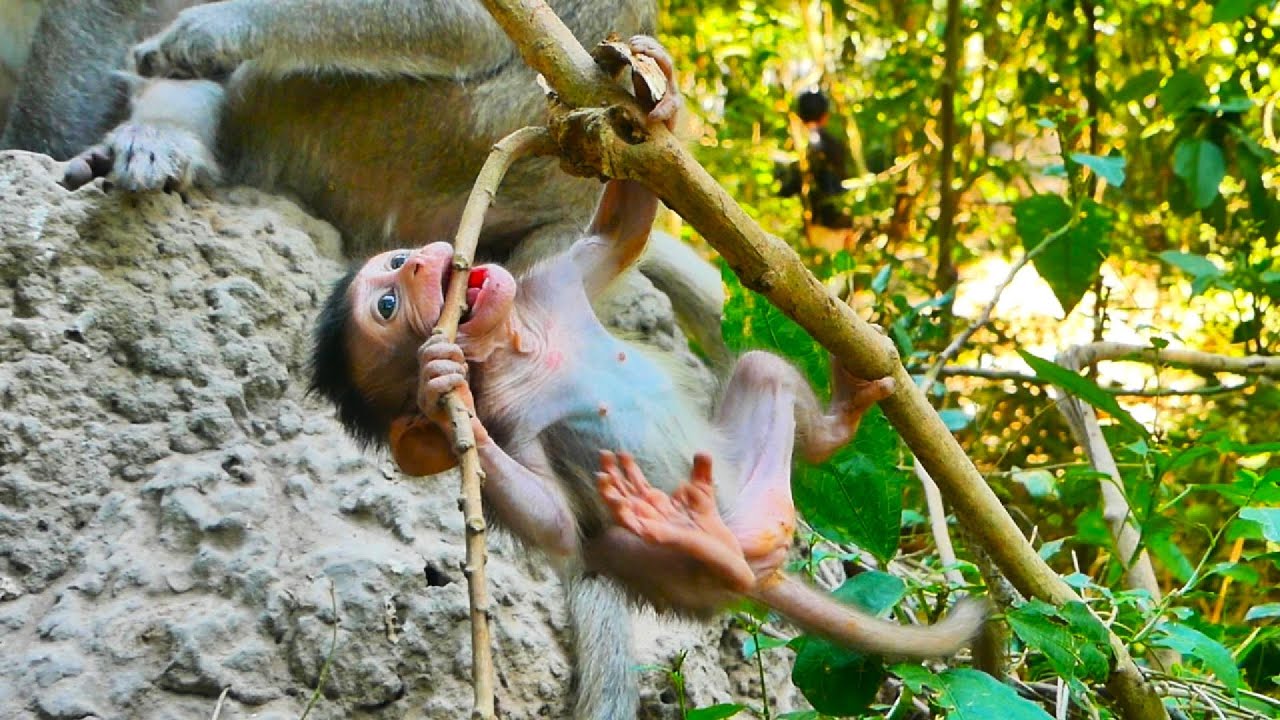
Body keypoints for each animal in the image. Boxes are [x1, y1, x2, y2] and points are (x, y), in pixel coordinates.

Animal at [309, 44, 984, 716]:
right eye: (387, 305)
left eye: (398, 263)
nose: (420, 262)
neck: (519, 344)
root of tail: (764, 563)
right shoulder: (512, 419)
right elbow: (555, 523)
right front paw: (440, 385)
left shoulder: (548, 282)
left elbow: (622, 234)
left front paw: (656, 97)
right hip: (675, 579)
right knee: (627, 552)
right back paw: (702, 543)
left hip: (757, 484)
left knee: (764, 372)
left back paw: (836, 425)